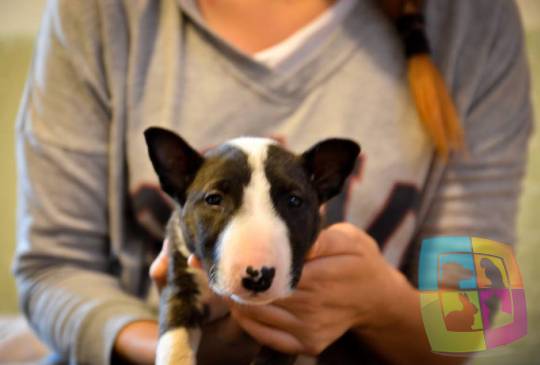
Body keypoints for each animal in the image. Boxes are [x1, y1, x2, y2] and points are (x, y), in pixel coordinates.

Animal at [146, 127, 360, 364]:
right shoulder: (181, 284)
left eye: (294, 201)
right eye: (213, 199)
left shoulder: (291, 333)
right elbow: (175, 339)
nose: (258, 275)